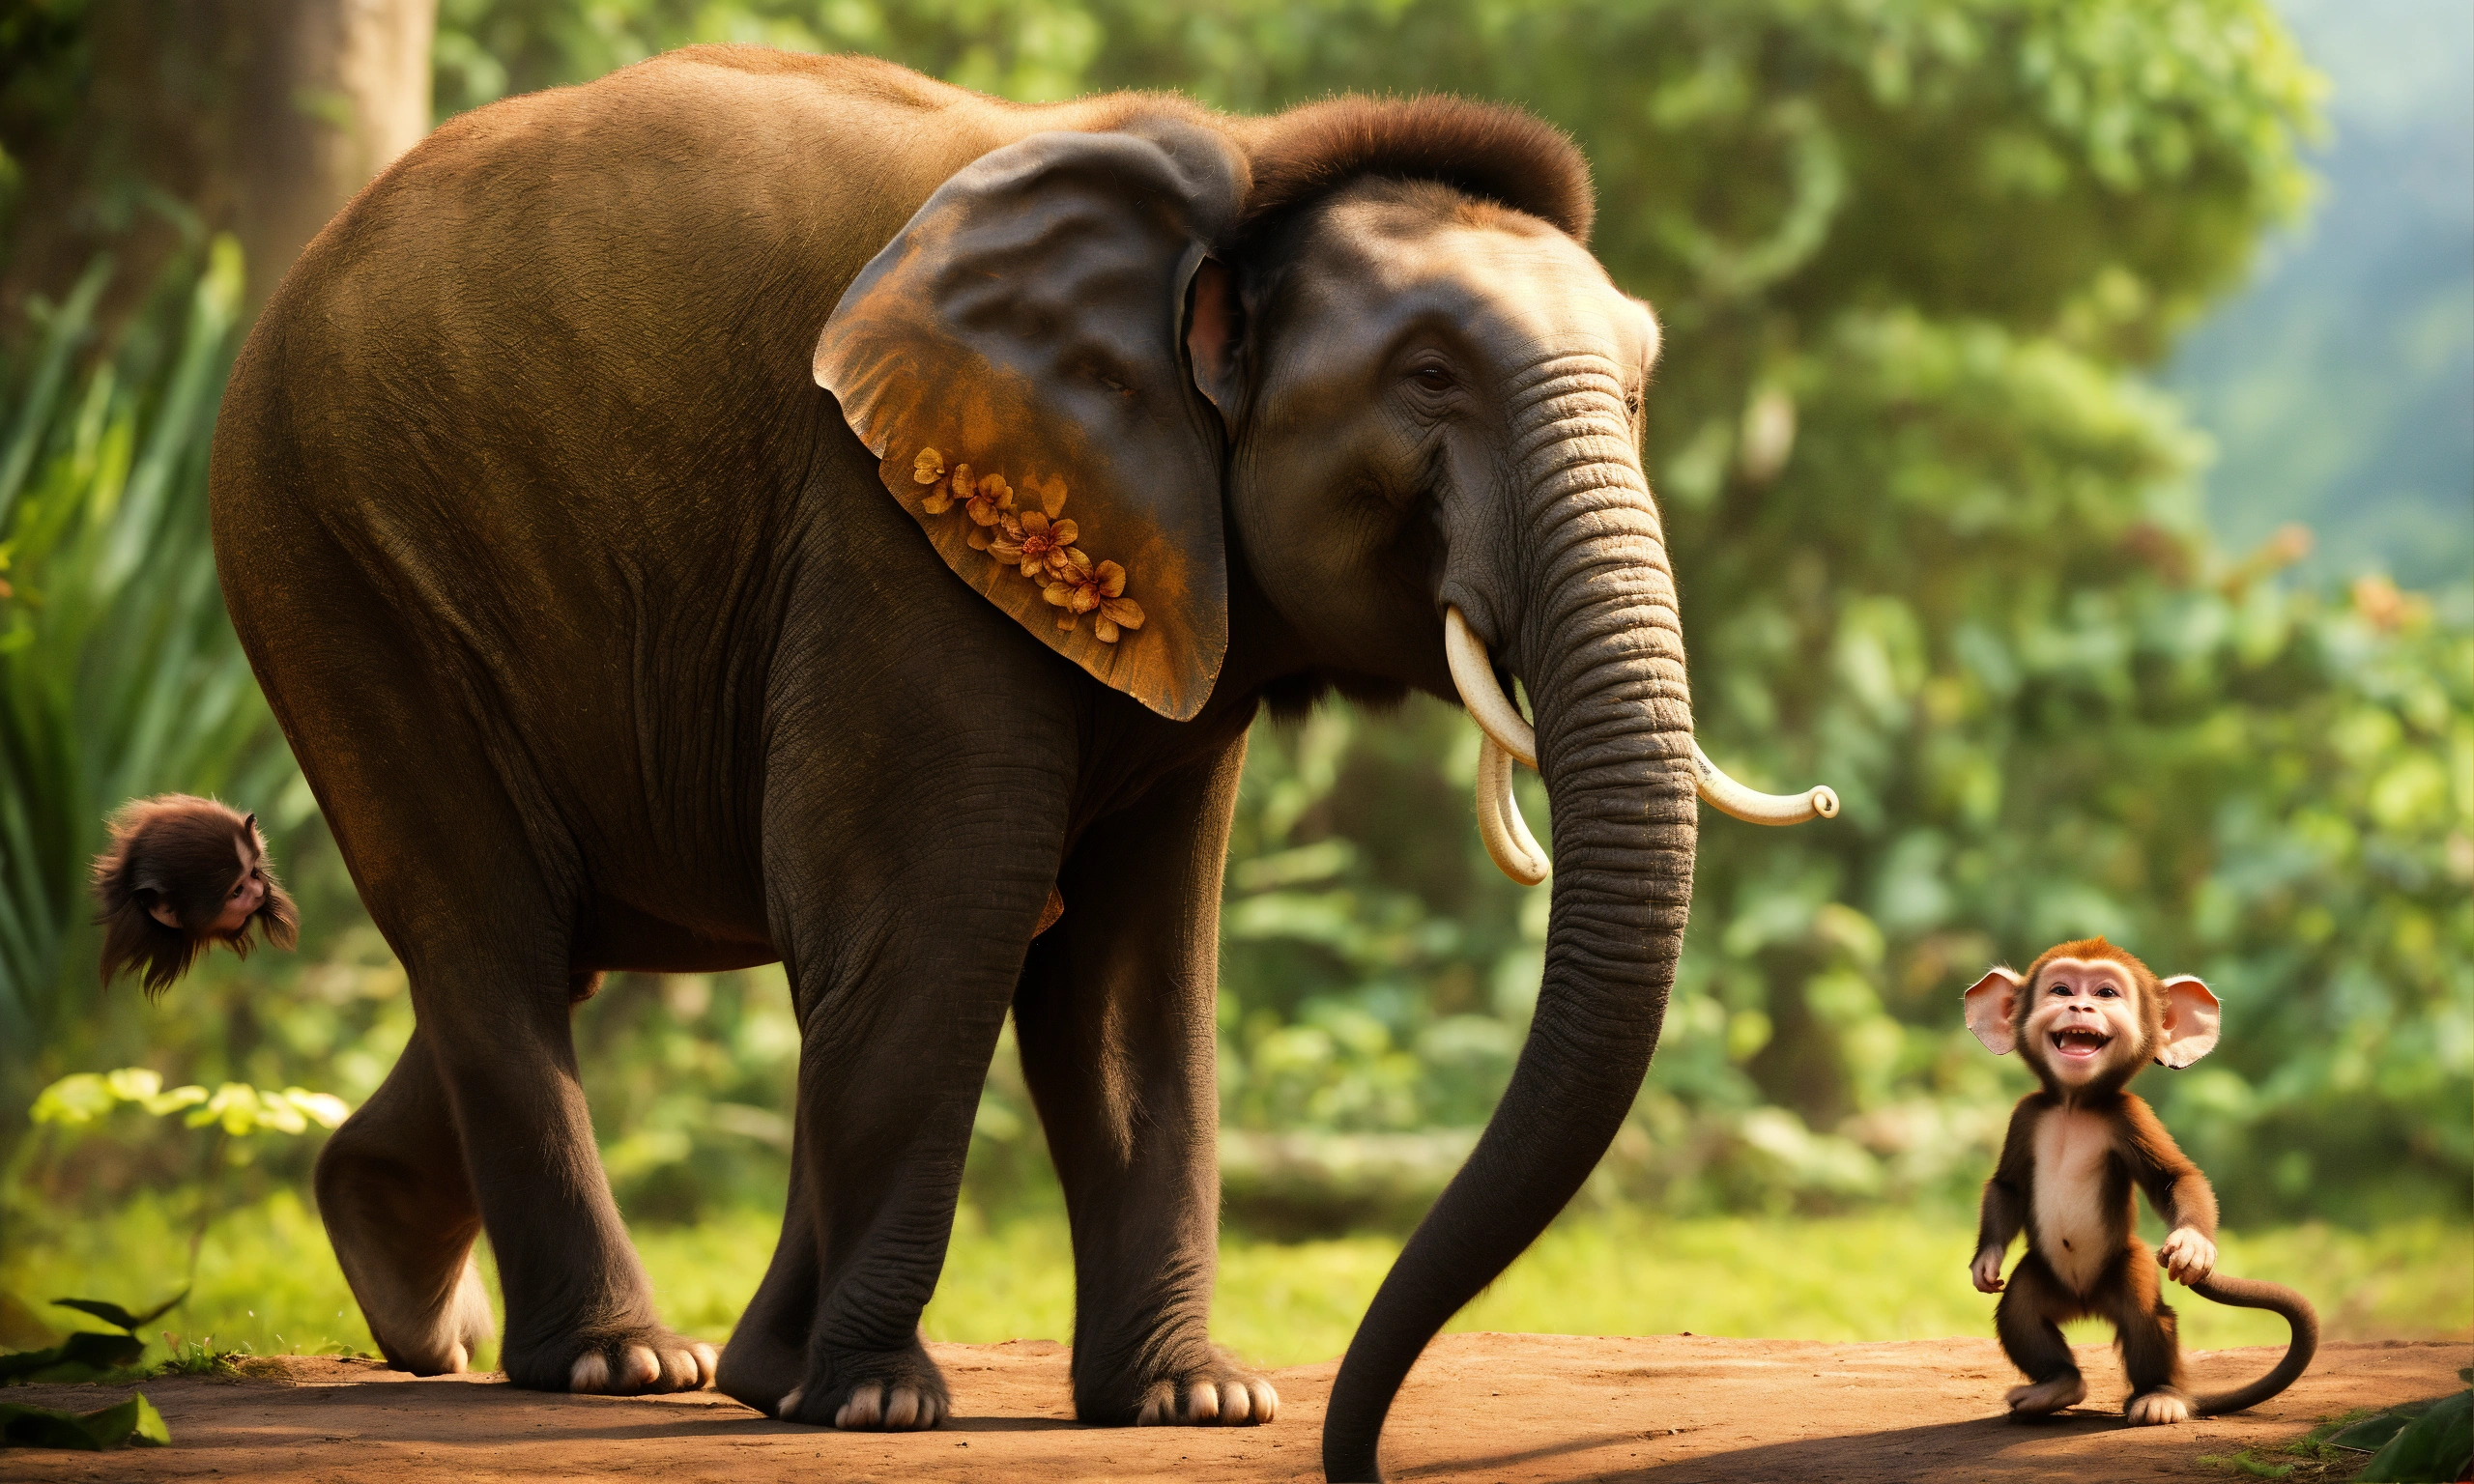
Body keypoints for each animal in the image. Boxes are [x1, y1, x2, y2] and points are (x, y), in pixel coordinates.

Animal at [1963, 936, 2316, 1425]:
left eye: (2107, 994)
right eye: (2059, 989)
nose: (2080, 1006)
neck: (2074, 1104)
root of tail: (2084, 1302)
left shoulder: (2129, 1115)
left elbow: (2174, 1177)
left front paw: (2191, 1247)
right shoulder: (2027, 1114)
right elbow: (2007, 1187)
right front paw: (1986, 1263)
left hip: (2126, 1268)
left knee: (2146, 1314)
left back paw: (2160, 1395)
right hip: (2043, 1279)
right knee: (2020, 1311)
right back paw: (2055, 1385)